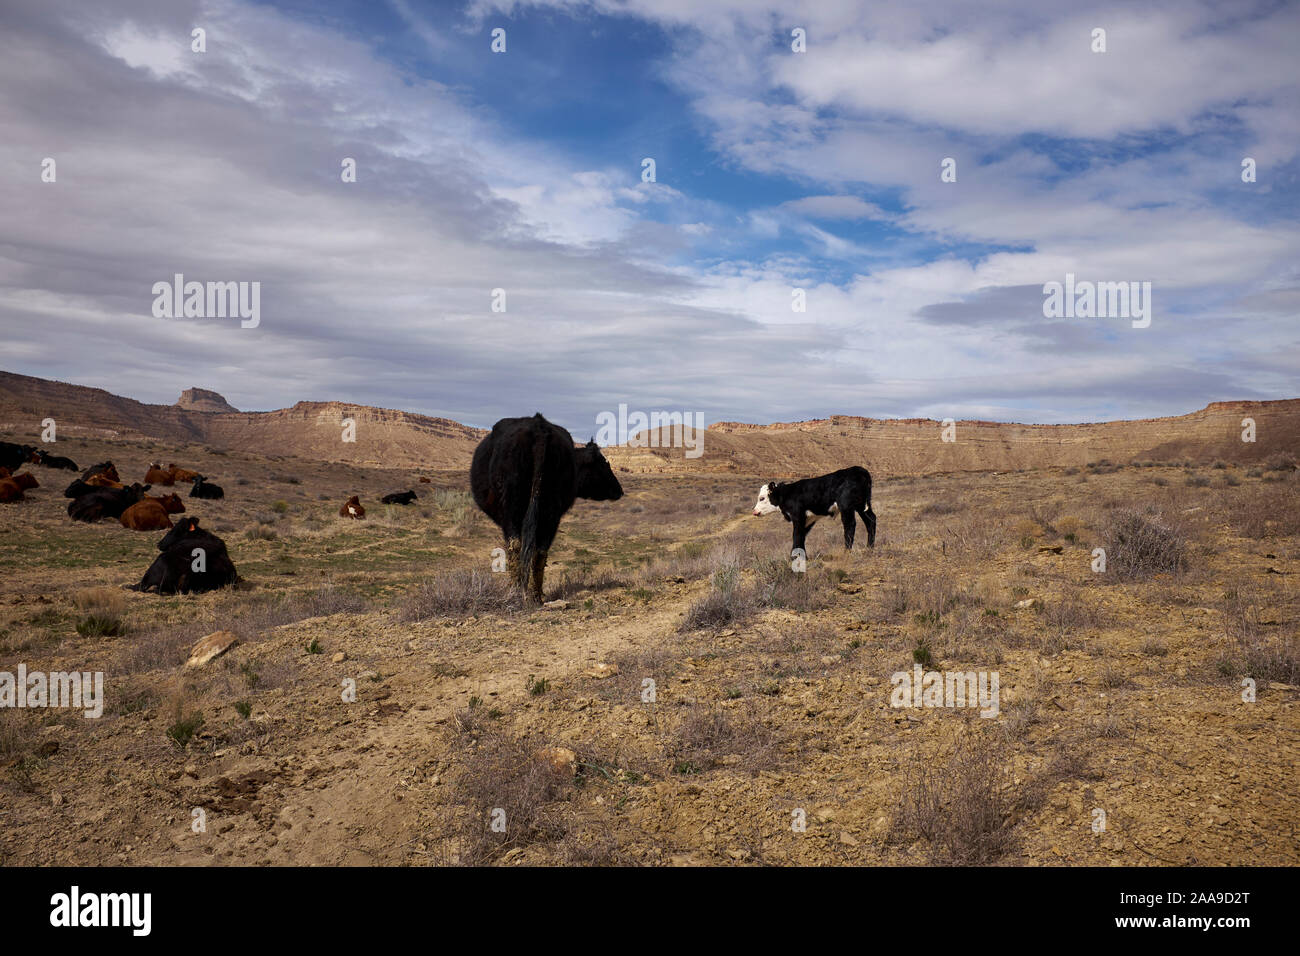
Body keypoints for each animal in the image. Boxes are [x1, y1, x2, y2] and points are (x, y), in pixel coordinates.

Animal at [470, 414, 623, 603]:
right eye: (603, 464)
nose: (619, 490)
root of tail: (539, 427)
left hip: (514, 508)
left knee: (517, 545)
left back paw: (518, 591)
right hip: (549, 513)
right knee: (539, 550)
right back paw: (534, 595)